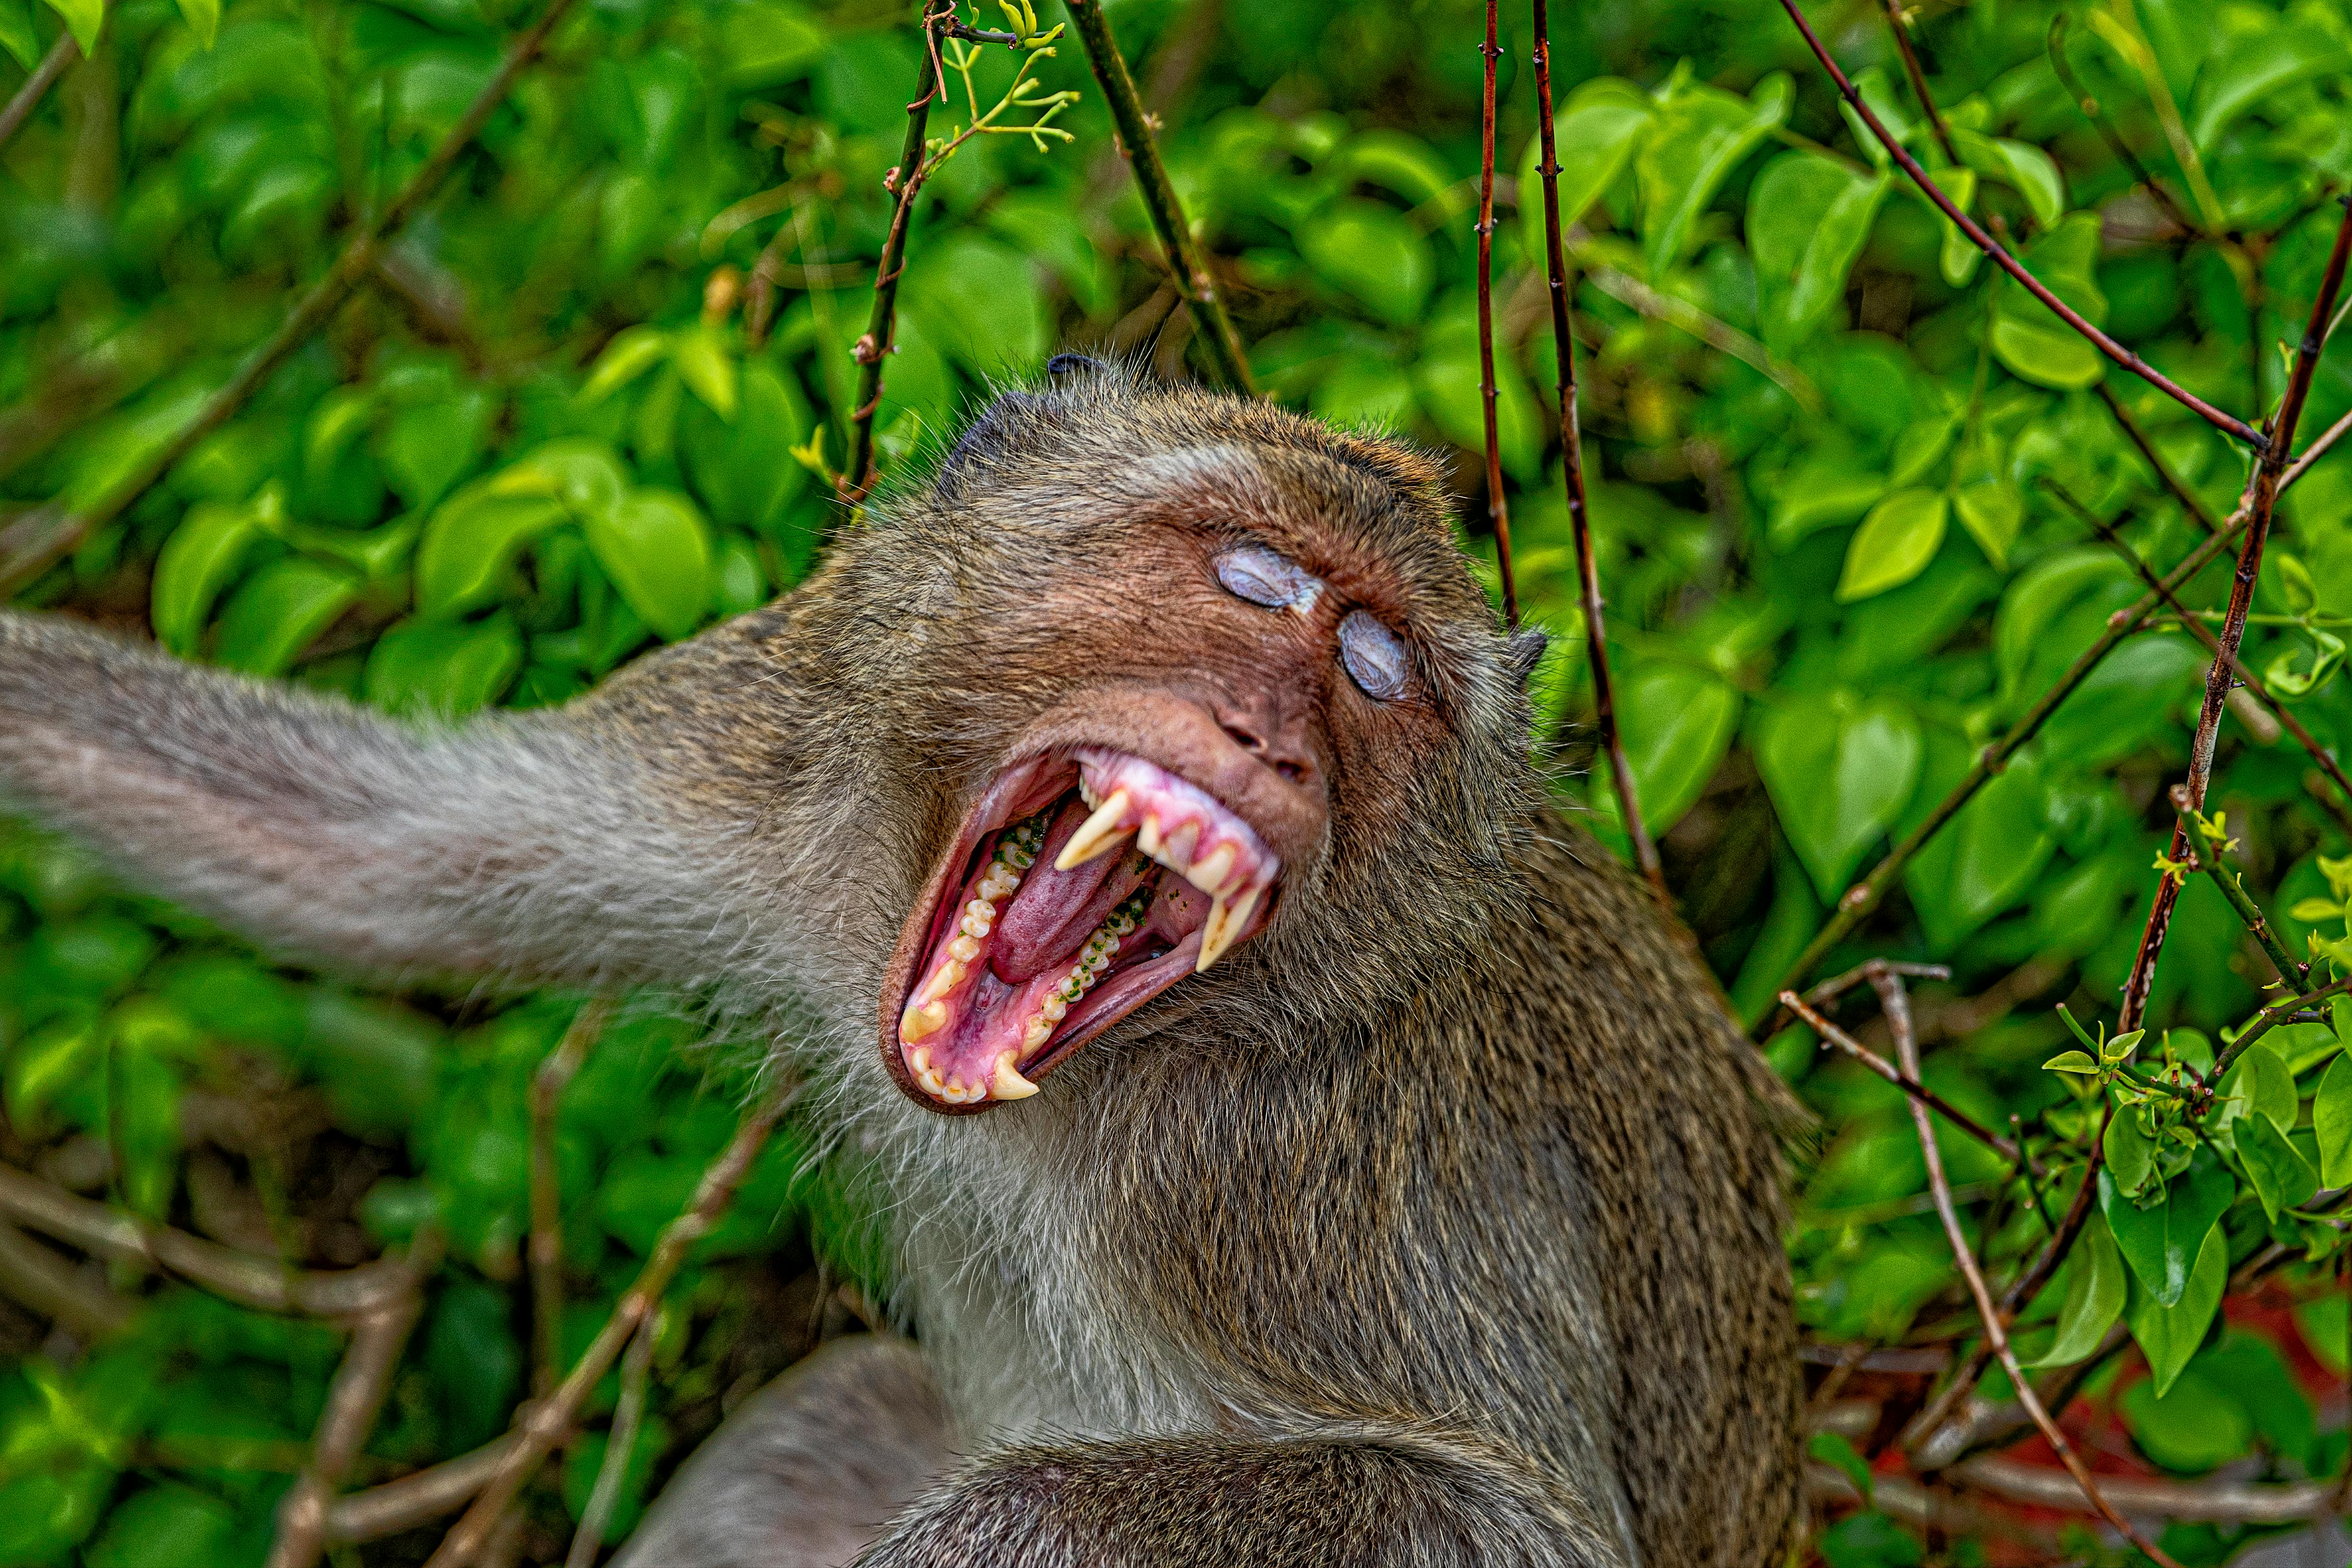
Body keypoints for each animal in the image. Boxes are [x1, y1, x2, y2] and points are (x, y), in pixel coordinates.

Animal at [0, 358, 1802, 1567]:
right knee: (818, 1428)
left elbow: (1513, 1520)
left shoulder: (1305, 1177)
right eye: (1252, 580)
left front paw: (988, 1529)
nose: (1273, 745)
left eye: (1376, 673)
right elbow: (368, 849)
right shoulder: (765, 750)